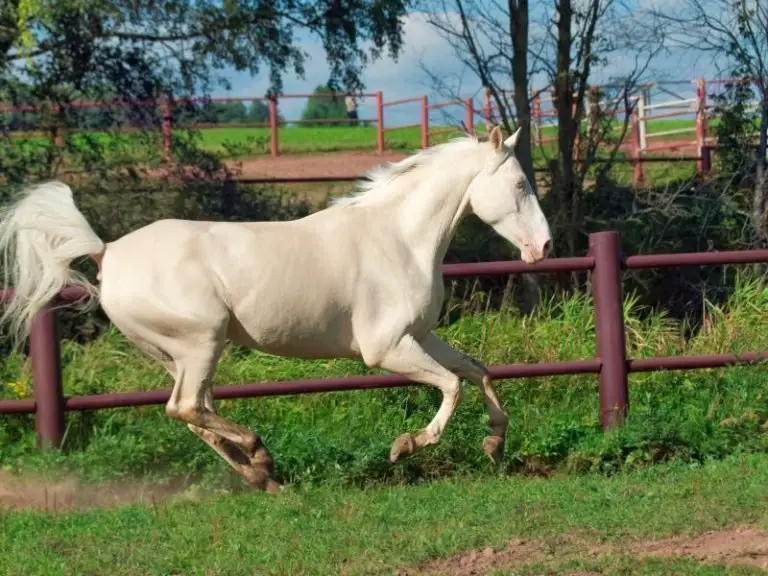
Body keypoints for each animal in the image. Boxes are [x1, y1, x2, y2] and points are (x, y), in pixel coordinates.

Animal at [0, 126, 552, 492]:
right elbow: (452, 385)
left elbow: (477, 371)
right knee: (186, 408)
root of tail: (106, 251)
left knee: (193, 411)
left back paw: (260, 474)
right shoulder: (386, 349)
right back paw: (259, 454)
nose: (544, 246)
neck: (398, 239)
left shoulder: (420, 336)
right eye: (520, 185)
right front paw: (407, 446)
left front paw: (495, 444)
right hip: (202, 342)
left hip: (178, 355)